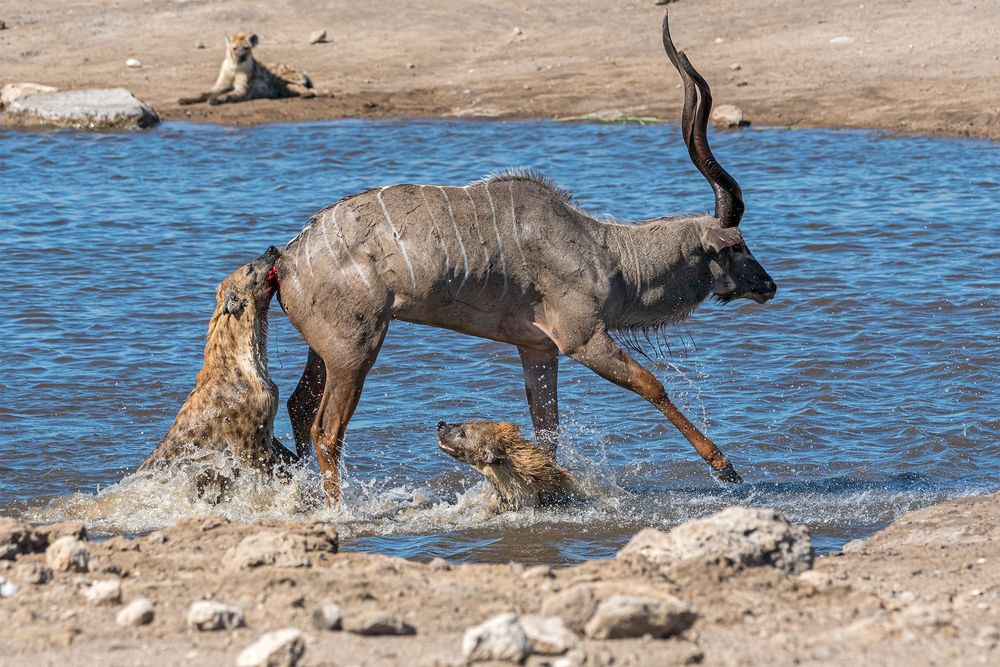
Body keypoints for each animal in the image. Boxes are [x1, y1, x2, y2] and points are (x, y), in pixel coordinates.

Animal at [278, 14, 776, 500]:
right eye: (737, 245)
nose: (768, 286)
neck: (607, 252)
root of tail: (288, 259)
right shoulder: (582, 340)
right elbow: (652, 385)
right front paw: (726, 467)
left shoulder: (537, 349)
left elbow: (547, 434)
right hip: (355, 352)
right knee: (327, 430)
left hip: (327, 353)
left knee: (299, 407)